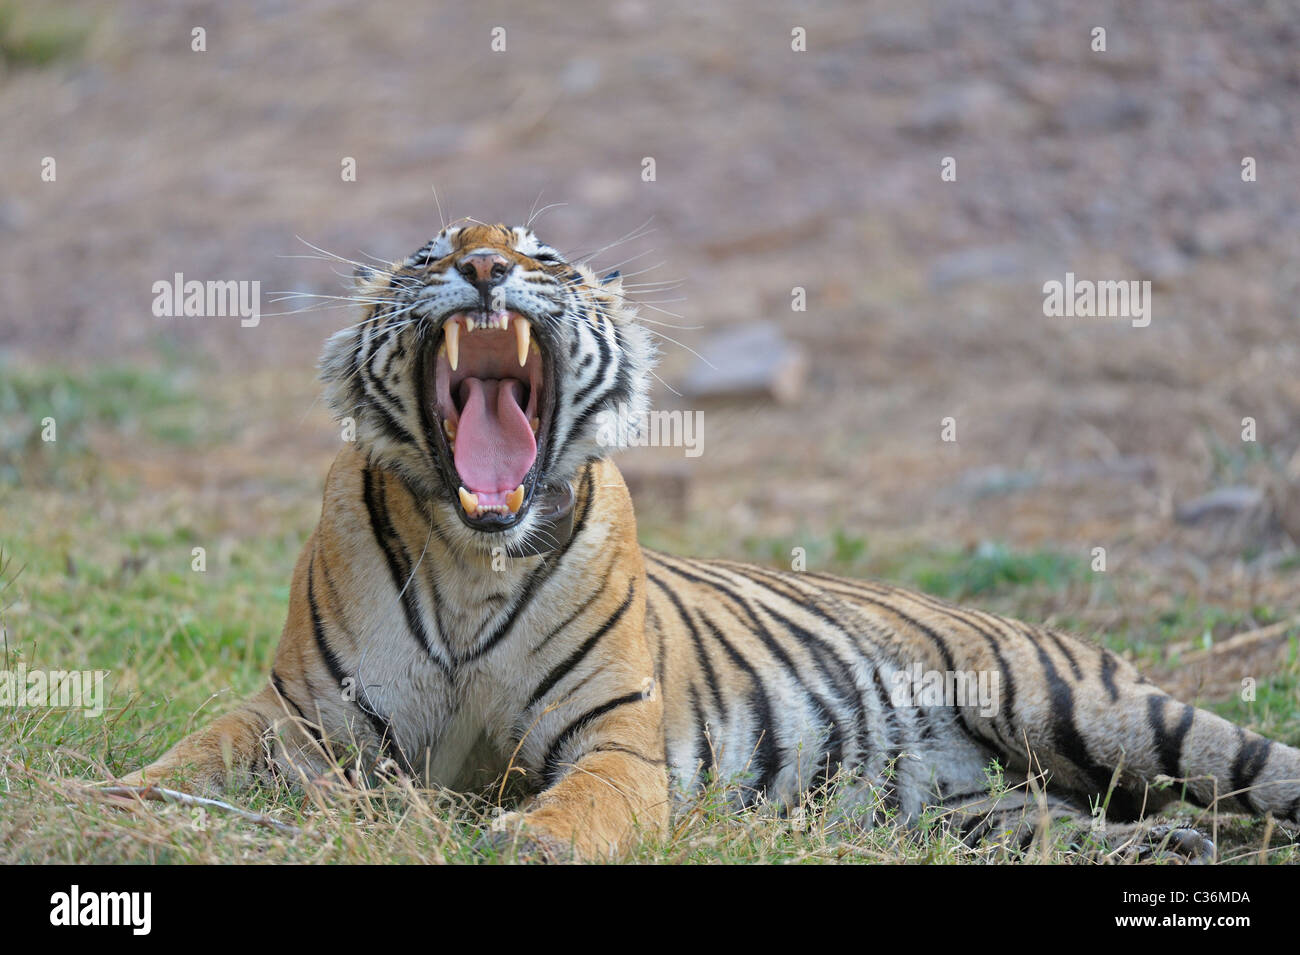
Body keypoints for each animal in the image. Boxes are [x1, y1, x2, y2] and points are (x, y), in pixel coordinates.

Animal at [121, 222, 1300, 862]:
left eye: (541, 256)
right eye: (429, 253)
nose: (487, 269)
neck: (472, 552)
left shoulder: (613, 740)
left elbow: (583, 802)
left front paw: (528, 840)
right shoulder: (297, 718)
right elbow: (187, 756)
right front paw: (109, 799)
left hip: (1092, 709)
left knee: (1249, 771)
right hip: (974, 815)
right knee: (1064, 823)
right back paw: (1166, 843)